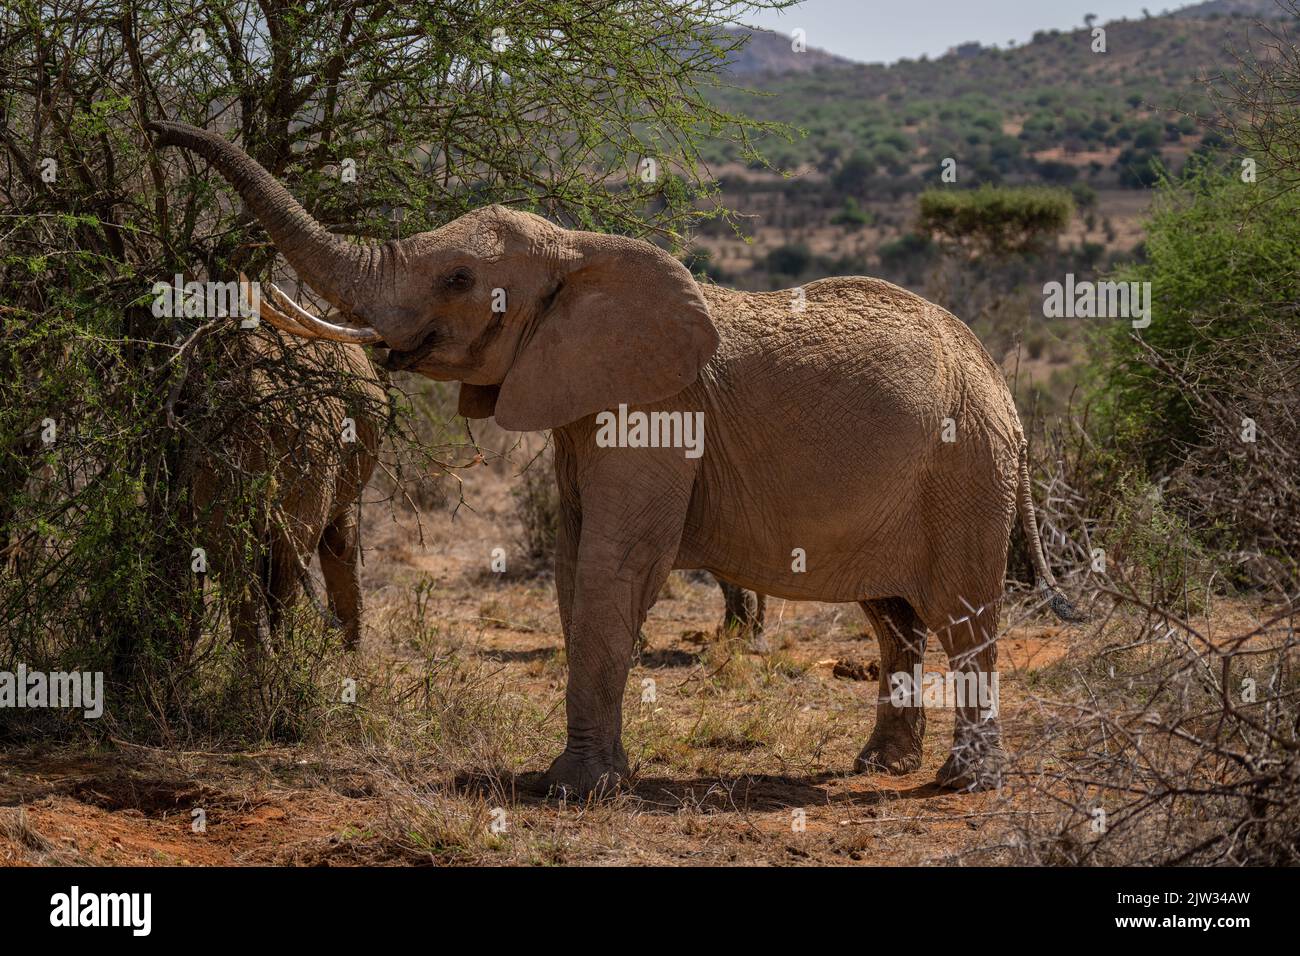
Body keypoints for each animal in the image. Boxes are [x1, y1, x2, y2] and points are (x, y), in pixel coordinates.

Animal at [151, 121, 1081, 794]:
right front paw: (596, 775)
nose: (160, 132)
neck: (579, 247)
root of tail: (1000, 383)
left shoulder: (657, 415)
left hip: (968, 469)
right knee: (893, 617)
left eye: (458, 279)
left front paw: (574, 789)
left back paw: (962, 786)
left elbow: (616, 561)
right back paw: (877, 767)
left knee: (963, 613)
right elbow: (575, 566)